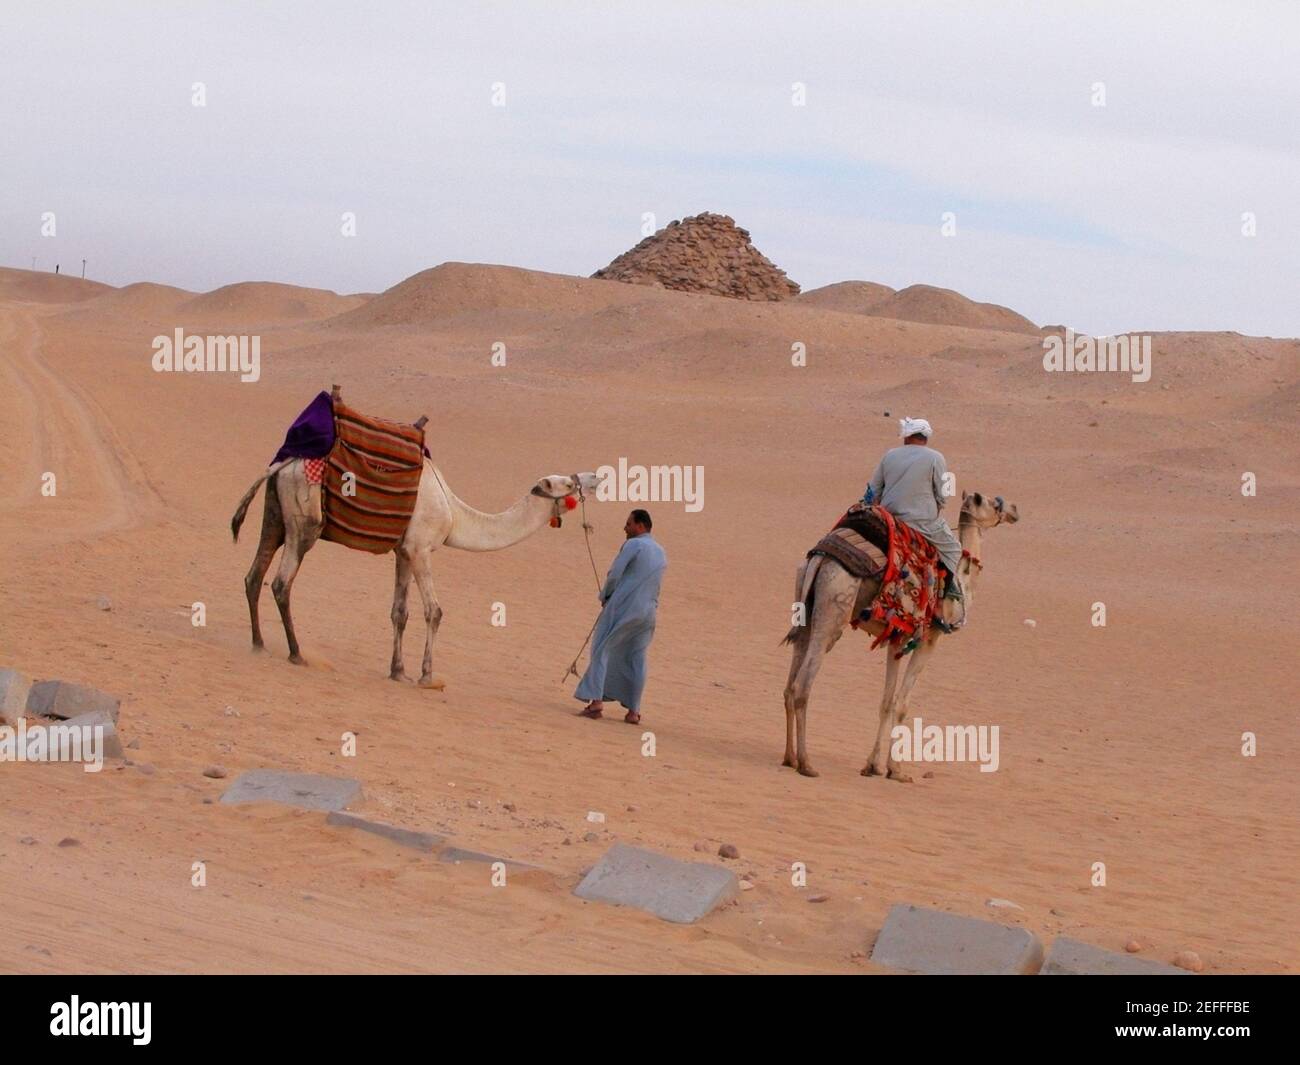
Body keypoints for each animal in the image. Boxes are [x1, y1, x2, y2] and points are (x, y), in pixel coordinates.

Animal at [231, 456, 598, 685]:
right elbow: (434, 611)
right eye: (565, 483)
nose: (594, 476)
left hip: (275, 517)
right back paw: (296, 653)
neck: (455, 515)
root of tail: (282, 465)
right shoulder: (421, 550)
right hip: (304, 523)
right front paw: (426, 675)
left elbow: (399, 612)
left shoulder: (404, 551)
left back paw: (259, 643)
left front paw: (398, 671)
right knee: (281, 583)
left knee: (253, 576)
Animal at [781, 491, 1020, 779]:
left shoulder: (896, 638)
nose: (1014, 509)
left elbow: (887, 701)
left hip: (804, 606)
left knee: (790, 685)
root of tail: (820, 557)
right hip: (833, 610)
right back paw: (806, 764)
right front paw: (896, 770)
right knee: (803, 686)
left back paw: (789, 758)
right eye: (993, 502)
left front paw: (873, 766)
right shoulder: (929, 638)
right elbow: (903, 703)